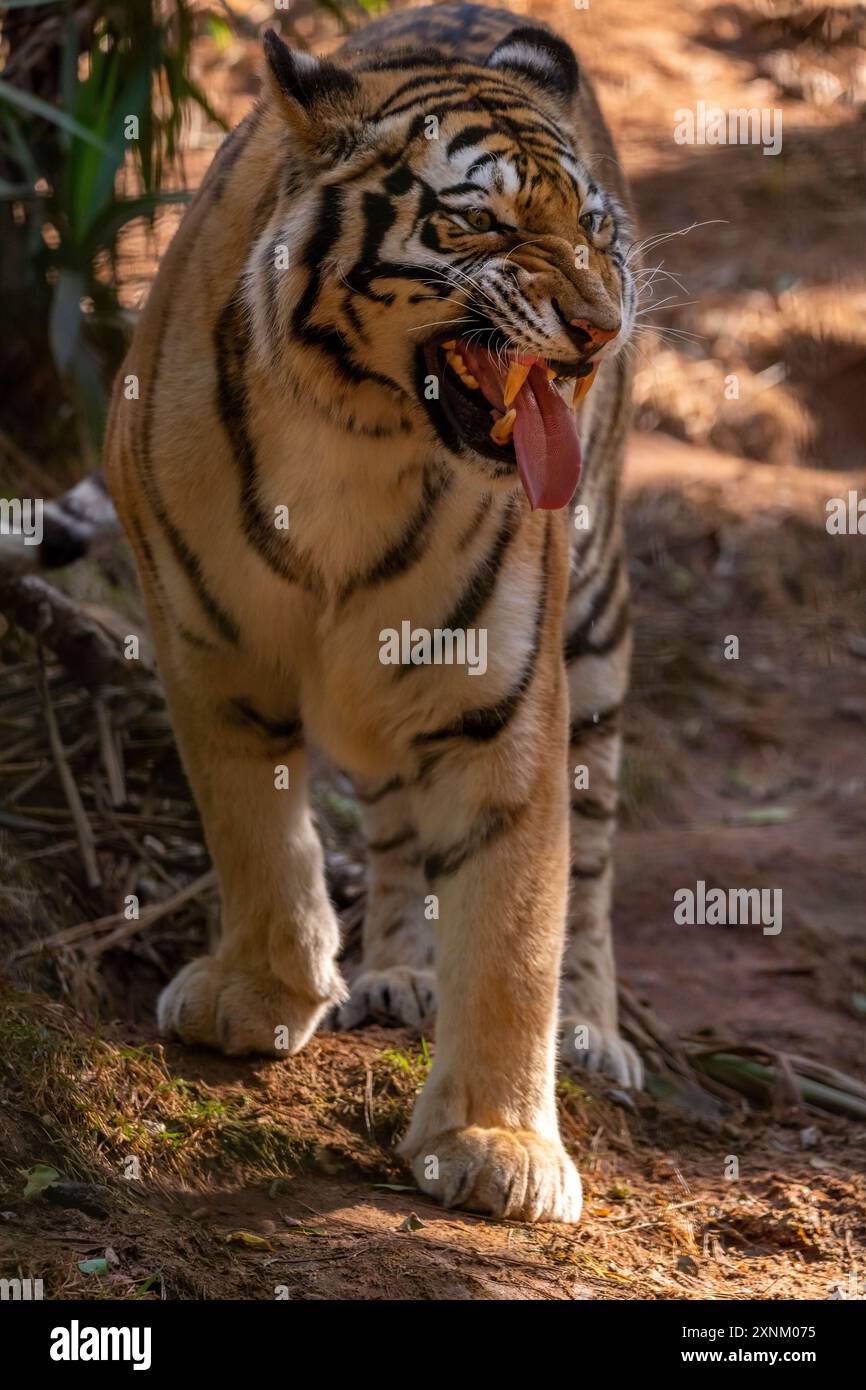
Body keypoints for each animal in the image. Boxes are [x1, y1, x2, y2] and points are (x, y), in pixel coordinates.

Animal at [60, 3, 643, 1223]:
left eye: (593, 229)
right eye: (481, 219)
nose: (600, 326)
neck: (355, 433)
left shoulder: (503, 690)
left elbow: (516, 918)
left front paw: (497, 1141)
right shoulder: (206, 642)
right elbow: (252, 827)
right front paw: (261, 990)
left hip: (595, 616)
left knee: (596, 847)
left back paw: (591, 1029)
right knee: (389, 819)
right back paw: (395, 969)